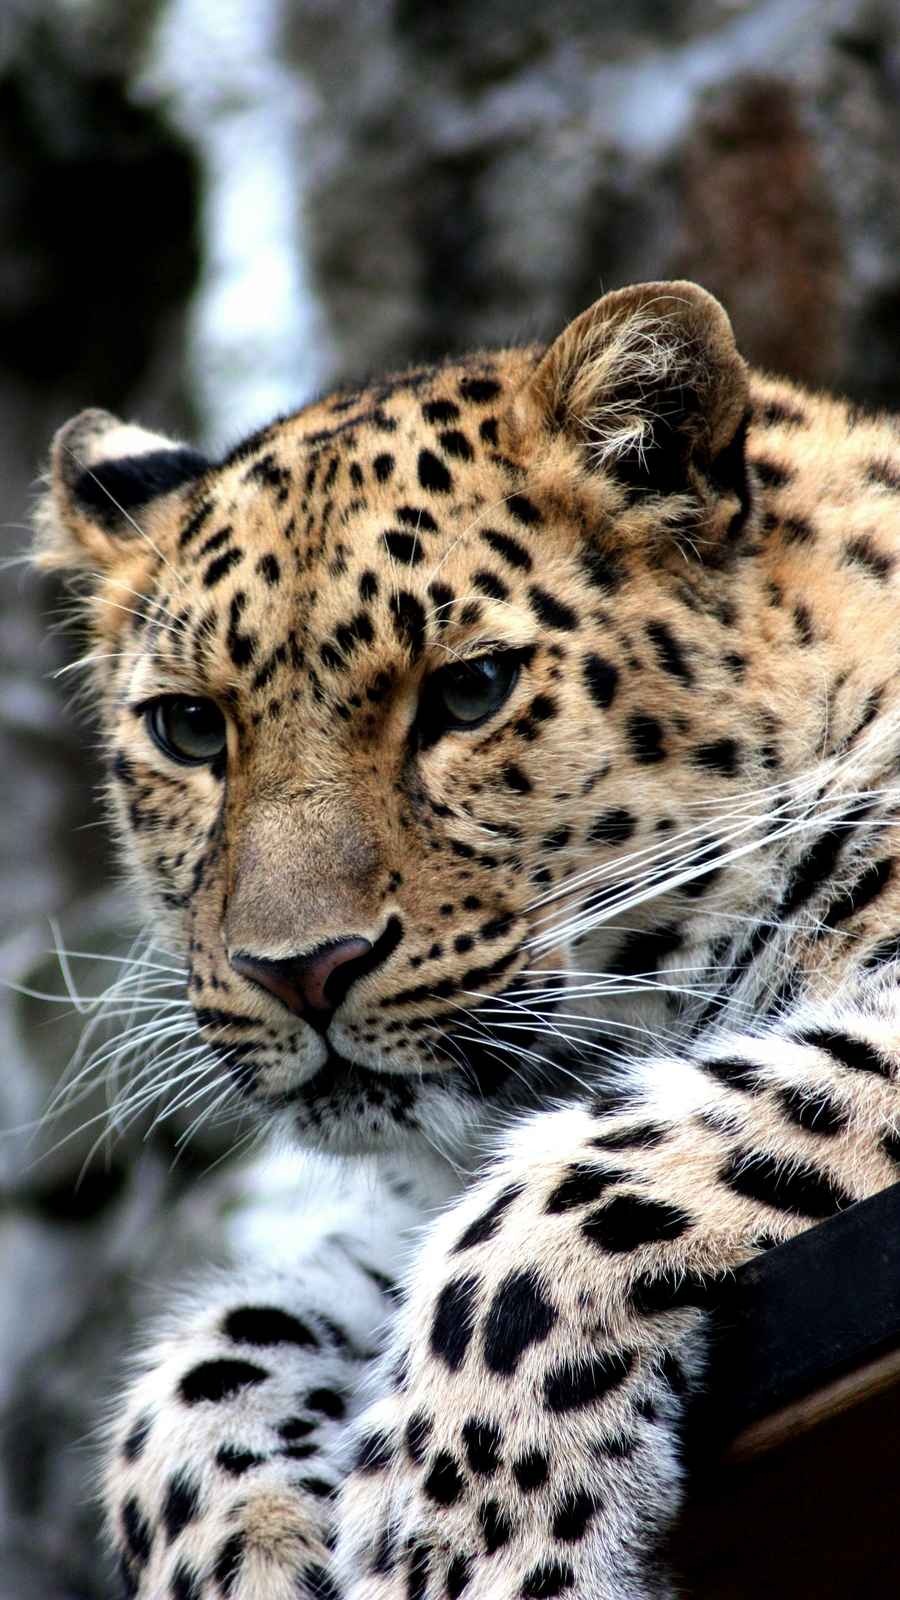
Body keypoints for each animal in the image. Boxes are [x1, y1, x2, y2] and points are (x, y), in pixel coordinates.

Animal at [34, 279, 900, 1600]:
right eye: (189, 728)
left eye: (471, 691)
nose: (300, 969)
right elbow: (209, 1356)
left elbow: (562, 1196)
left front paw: (469, 1540)